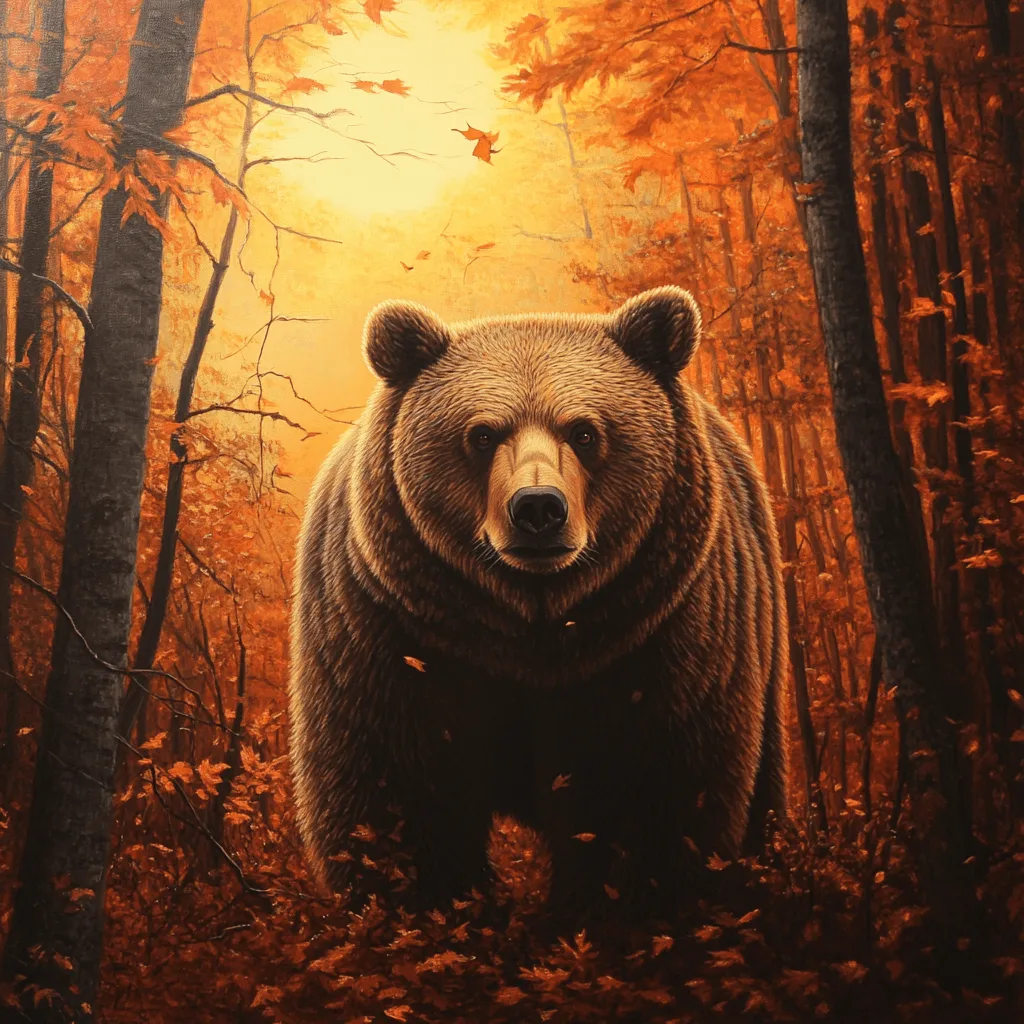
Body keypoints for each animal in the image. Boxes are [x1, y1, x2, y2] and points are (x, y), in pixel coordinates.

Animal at [288, 285, 788, 916]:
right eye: (481, 433)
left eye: (584, 431)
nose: (538, 508)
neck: (530, 622)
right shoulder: (389, 627)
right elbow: (392, 790)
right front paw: (425, 902)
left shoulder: (663, 634)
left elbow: (656, 789)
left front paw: (625, 905)